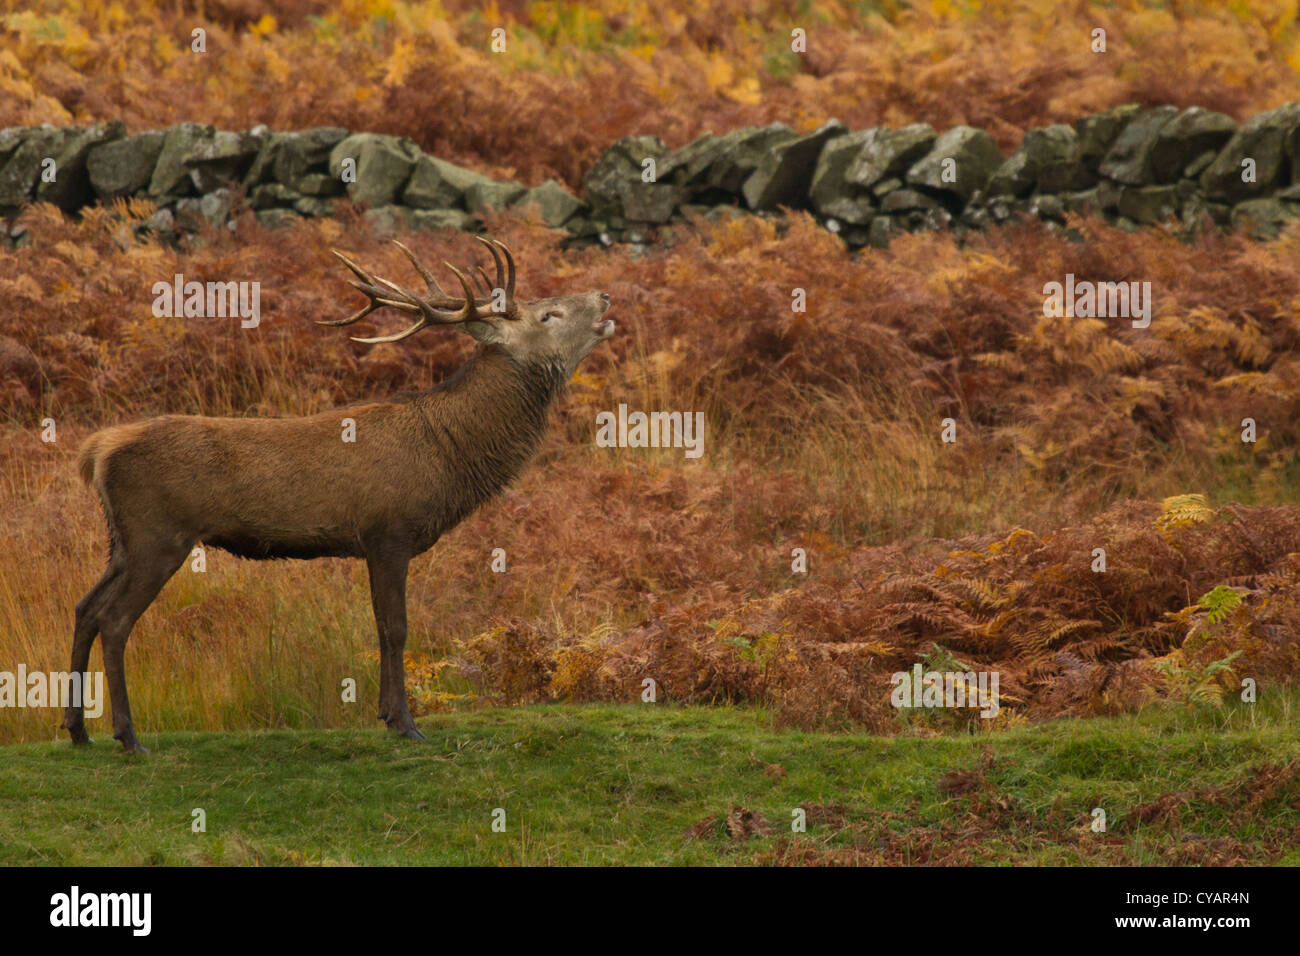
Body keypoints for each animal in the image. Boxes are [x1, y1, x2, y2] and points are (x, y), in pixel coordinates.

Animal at [65, 237, 615, 752]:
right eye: (548, 314)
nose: (604, 295)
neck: (449, 456)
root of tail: (96, 452)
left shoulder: (374, 542)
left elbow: (379, 625)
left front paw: (385, 714)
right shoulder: (388, 530)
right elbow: (395, 627)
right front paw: (405, 723)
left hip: (122, 541)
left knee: (85, 607)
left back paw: (78, 730)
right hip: (158, 535)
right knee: (114, 620)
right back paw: (128, 737)